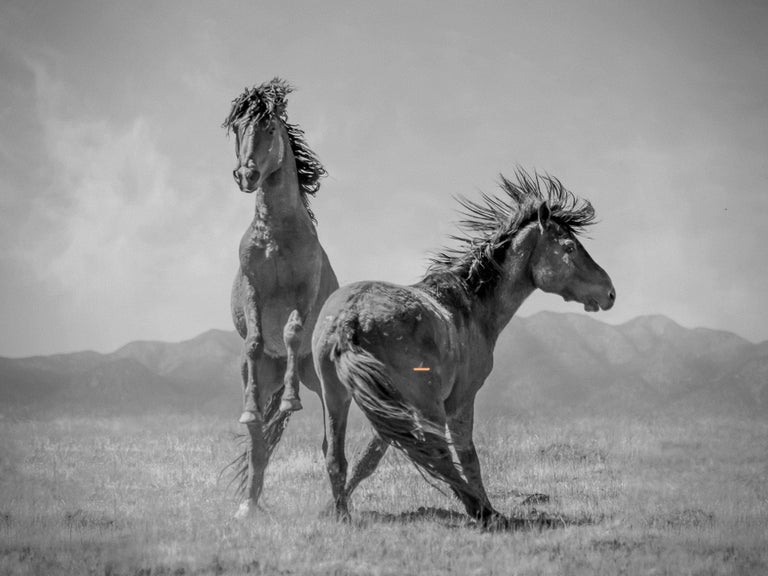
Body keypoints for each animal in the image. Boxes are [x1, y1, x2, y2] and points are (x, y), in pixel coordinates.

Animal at [223, 78, 338, 517]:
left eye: (269, 127)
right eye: (238, 129)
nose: (246, 174)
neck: (276, 231)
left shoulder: (304, 291)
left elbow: (290, 332)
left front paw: (290, 402)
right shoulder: (254, 290)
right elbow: (257, 339)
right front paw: (251, 408)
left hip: (319, 380)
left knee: (328, 438)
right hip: (256, 376)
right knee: (258, 442)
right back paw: (248, 506)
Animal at [311, 169, 615, 528]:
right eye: (569, 247)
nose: (610, 292)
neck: (471, 304)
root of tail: (351, 316)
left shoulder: (392, 407)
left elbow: (369, 456)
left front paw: (334, 507)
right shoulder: (458, 401)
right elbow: (467, 456)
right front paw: (487, 510)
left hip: (338, 397)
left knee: (336, 456)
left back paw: (343, 512)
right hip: (423, 404)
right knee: (438, 452)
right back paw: (477, 508)